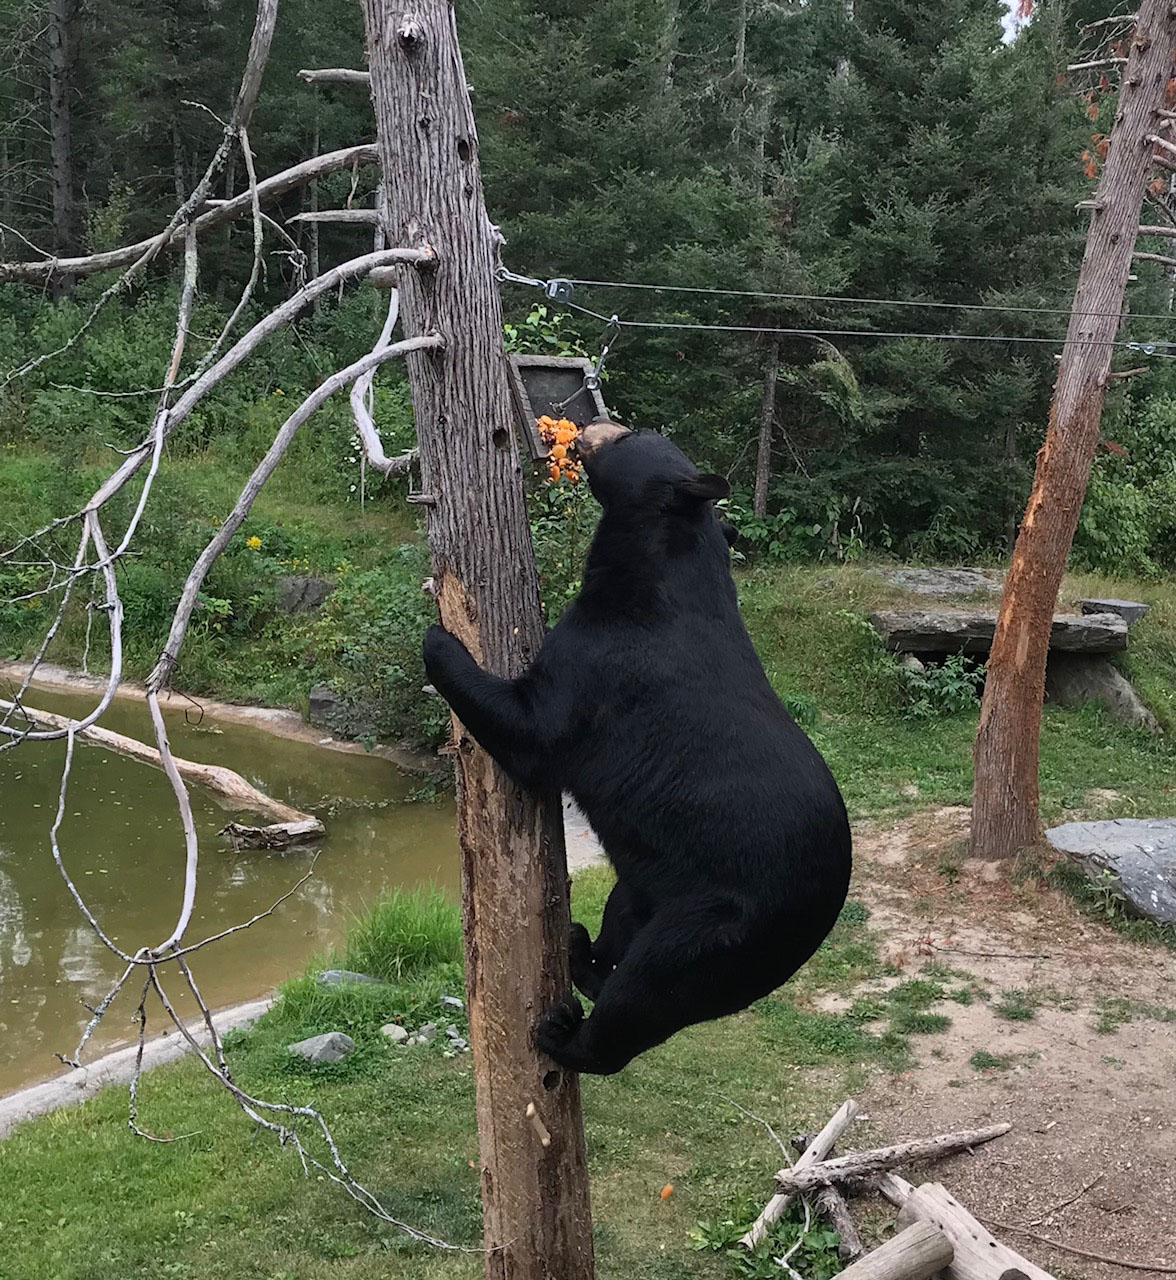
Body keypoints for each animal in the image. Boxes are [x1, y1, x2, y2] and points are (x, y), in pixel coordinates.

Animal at [423, 419, 852, 1075]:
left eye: (632, 437)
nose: (596, 425)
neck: (657, 569)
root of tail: (812, 929)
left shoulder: (606, 665)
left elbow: (532, 731)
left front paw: (437, 637)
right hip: (653, 883)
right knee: (622, 917)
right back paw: (579, 950)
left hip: (715, 927)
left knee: (644, 996)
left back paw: (565, 1034)